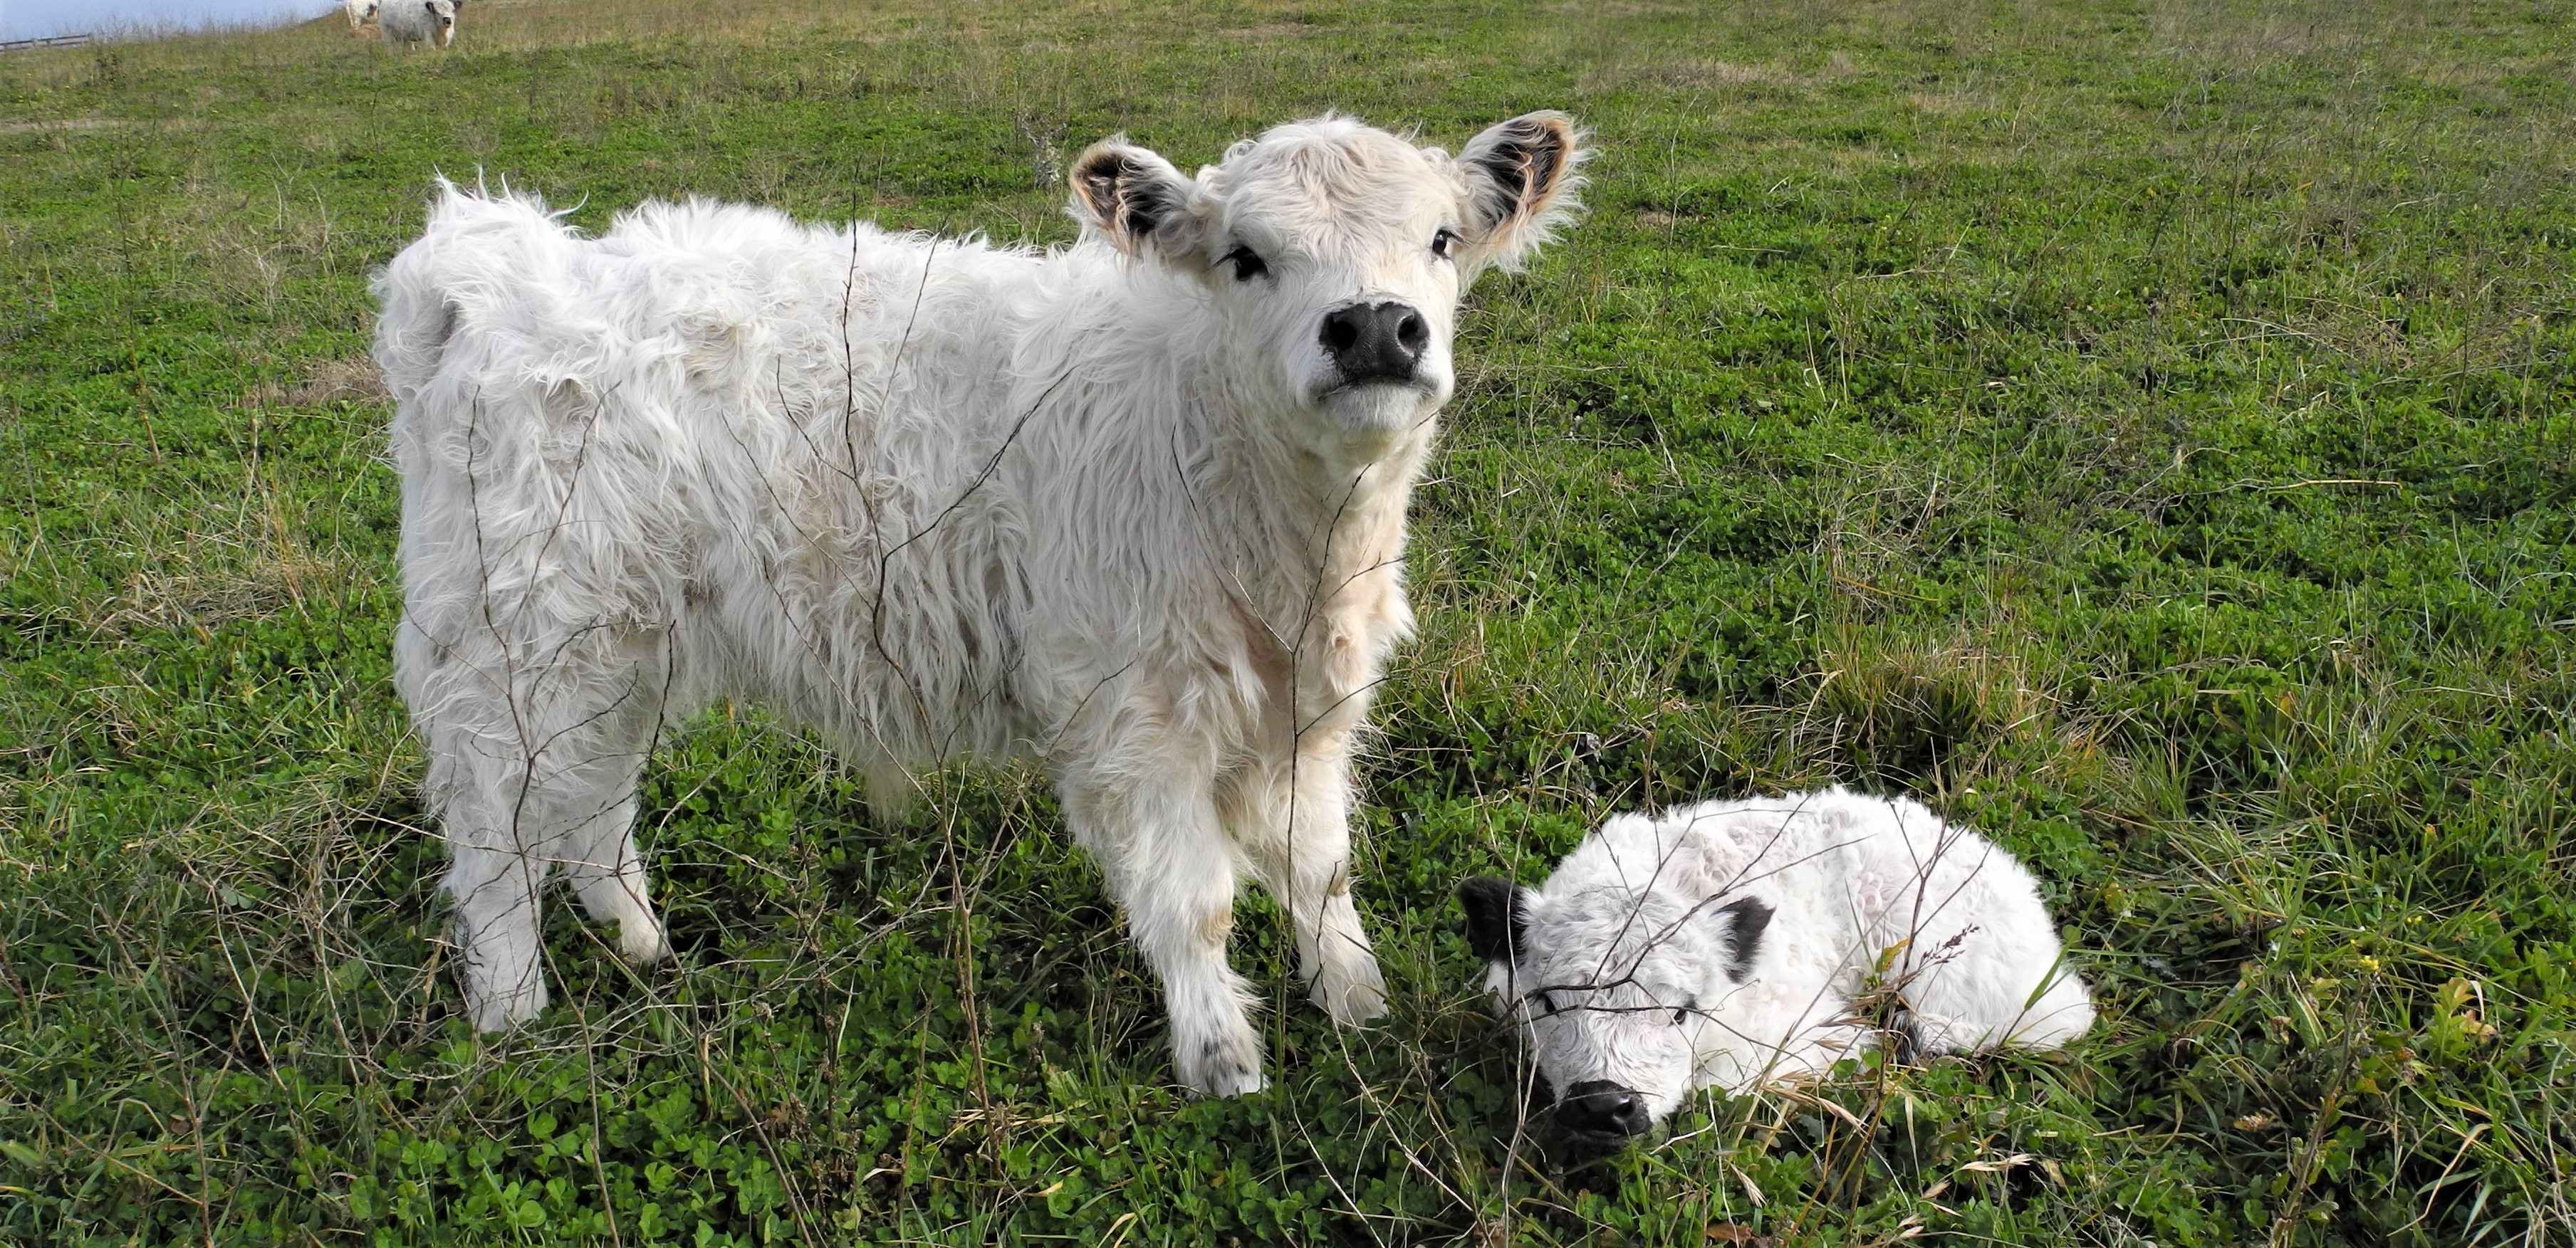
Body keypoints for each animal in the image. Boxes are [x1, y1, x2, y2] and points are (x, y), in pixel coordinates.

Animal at [372, 112, 1585, 1094]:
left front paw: (1354, 999)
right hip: (519, 635)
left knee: (593, 798)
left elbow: (1317, 864)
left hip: (623, 638)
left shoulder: (1307, 708)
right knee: (494, 830)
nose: (1375, 327)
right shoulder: (1131, 719)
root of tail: (497, 272)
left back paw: (636, 940)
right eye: (1246, 256)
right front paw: (1223, 1062)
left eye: (1440, 240)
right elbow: (1193, 900)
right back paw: (513, 1012)